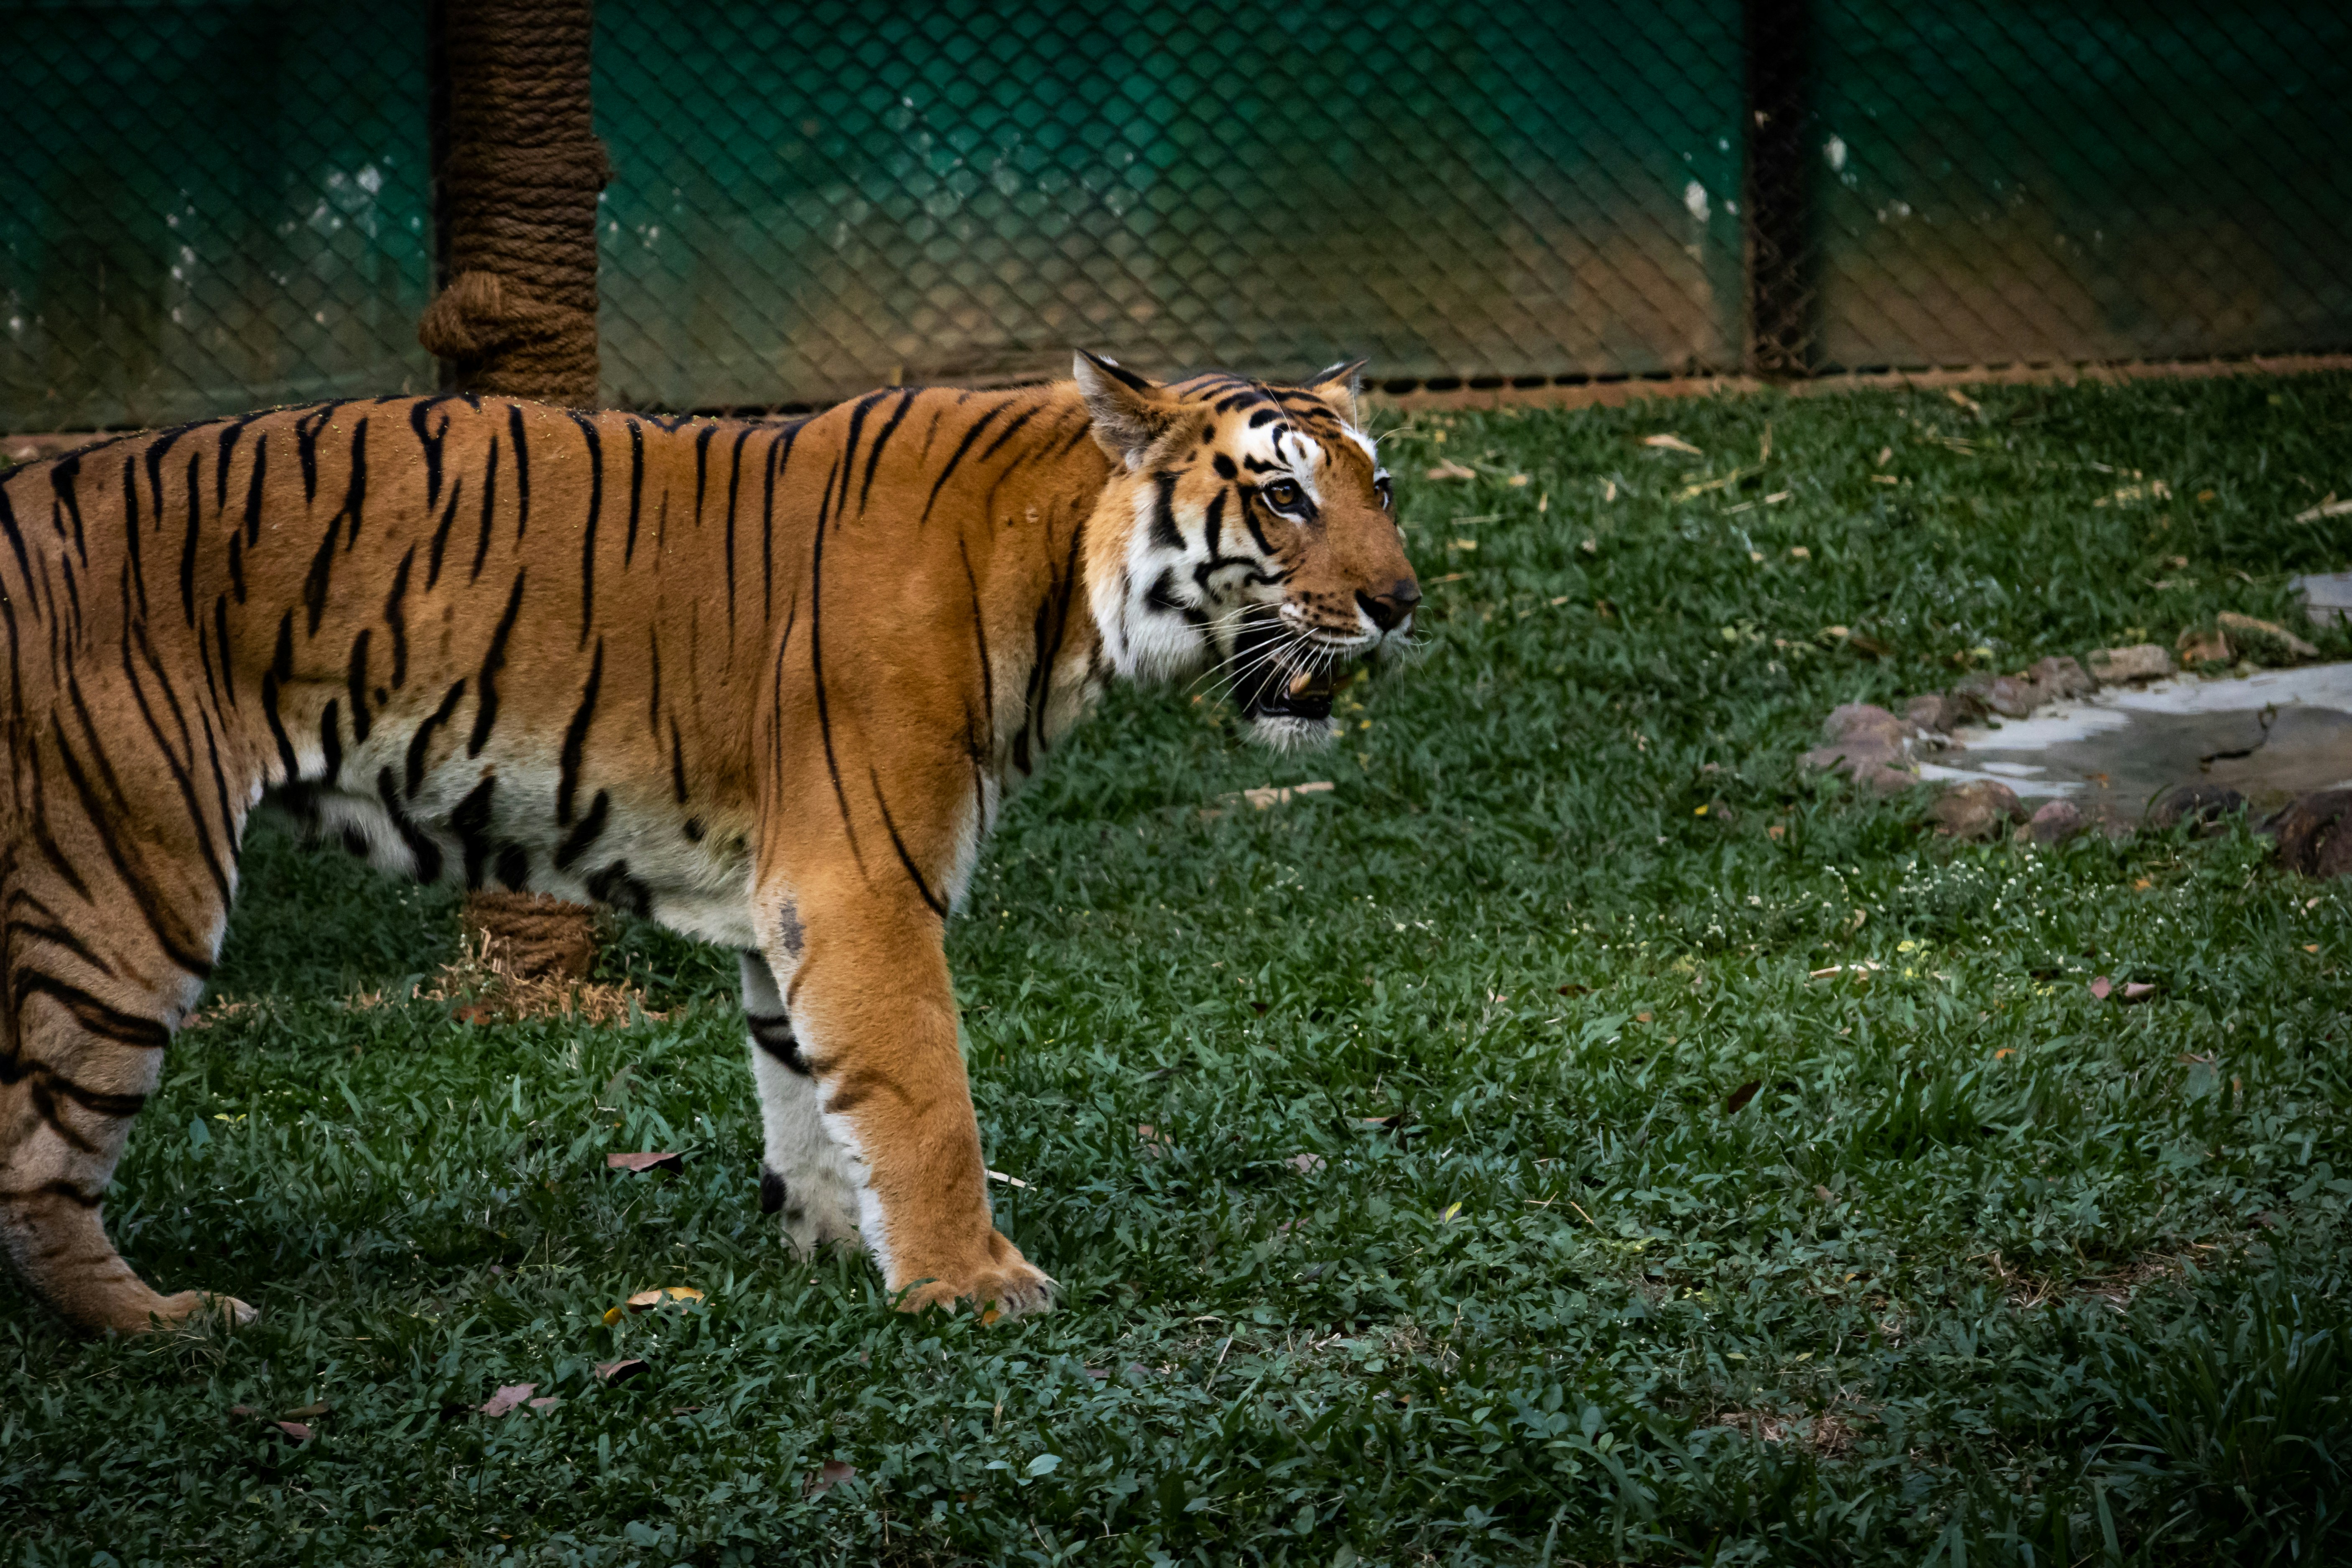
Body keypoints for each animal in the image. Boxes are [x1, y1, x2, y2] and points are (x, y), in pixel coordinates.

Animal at [0, 352, 1418, 1333]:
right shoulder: (863, 883)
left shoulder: (791, 904)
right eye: (1284, 494)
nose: (1402, 603)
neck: (1064, 573)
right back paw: (164, 1322)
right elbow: (922, 1098)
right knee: (39, 1152)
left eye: (1380, 488)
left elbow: (811, 1096)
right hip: (126, 878)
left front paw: (839, 1251)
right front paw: (971, 1282)